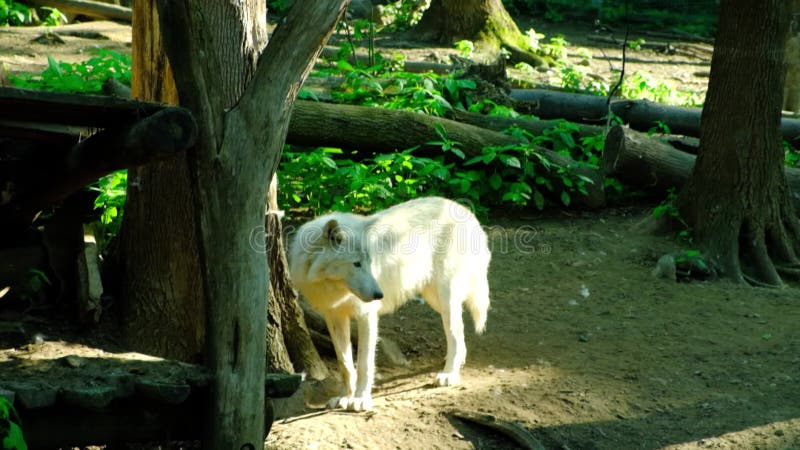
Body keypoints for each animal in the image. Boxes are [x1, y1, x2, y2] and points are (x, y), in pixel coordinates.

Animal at [288, 197, 491, 411]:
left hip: (446, 299)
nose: (379, 295)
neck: (333, 288)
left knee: (456, 333)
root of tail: (466, 212)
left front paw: (360, 399)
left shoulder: (367, 316)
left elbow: (364, 364)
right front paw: (345, 397)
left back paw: (449, 374)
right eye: (356, 264)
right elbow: (345, 364)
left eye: (369, 263)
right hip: (434, 298)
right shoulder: (334, 317)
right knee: (459, 336)